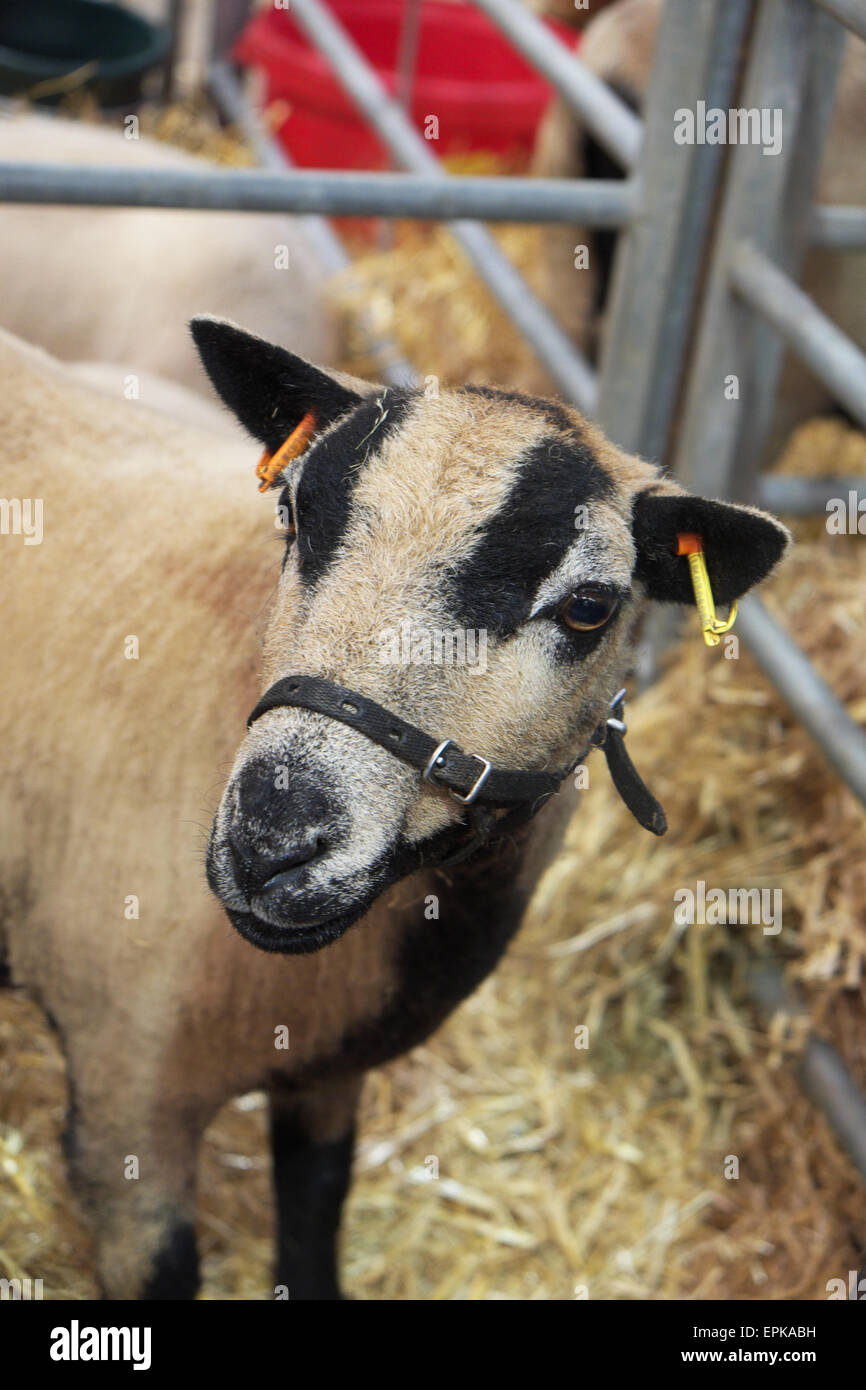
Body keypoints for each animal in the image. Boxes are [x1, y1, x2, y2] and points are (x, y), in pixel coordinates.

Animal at [0, 319, 789, 1298]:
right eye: (292, 515)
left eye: (588, 607)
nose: (272, 843)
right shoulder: (124, 1110)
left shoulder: (326, 1076)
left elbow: (314, 1216)